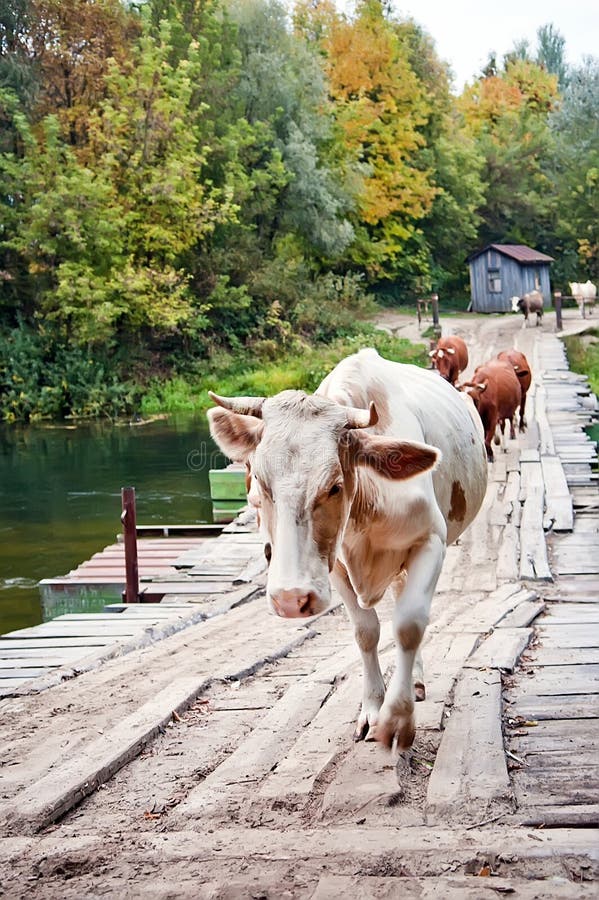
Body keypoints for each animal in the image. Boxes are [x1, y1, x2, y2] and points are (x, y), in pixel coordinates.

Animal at [208, 348, 488, 758]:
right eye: (259, 482)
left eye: (335, 486)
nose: (290, 599)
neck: (367, 504)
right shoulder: (334, 565)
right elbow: (366, 632)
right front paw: (373, 709)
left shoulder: (430, 541)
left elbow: (409, 625)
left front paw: (397, 719)